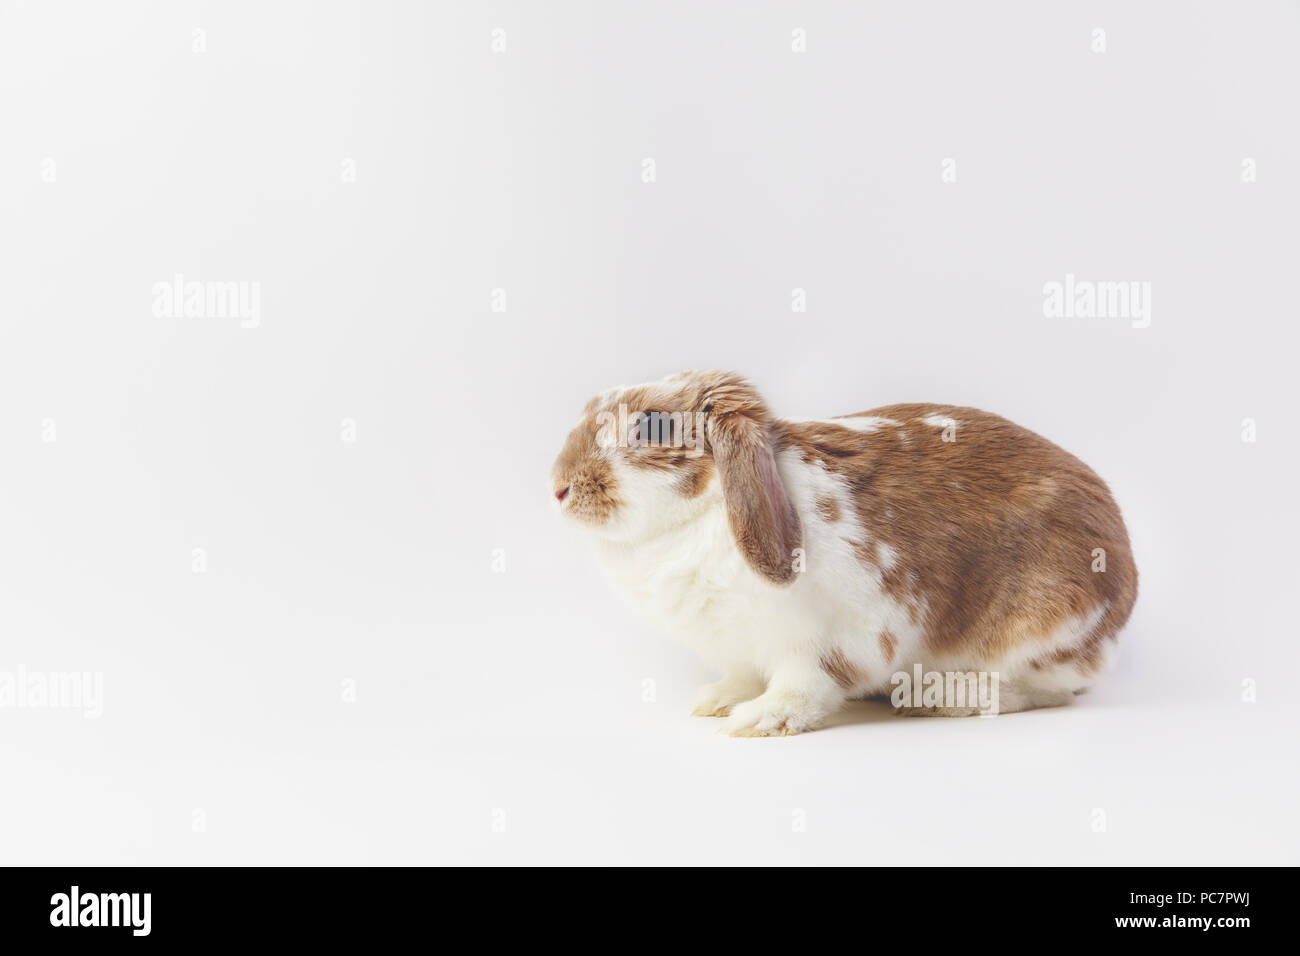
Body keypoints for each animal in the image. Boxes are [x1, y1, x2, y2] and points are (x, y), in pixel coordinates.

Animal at [550, 370, 1137, 736]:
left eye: (652, 425)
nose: (558, 487)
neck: (703, 514)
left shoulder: (828, 640)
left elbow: (804, 686)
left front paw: (761, 720)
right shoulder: (740, 647)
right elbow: (741, 675)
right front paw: (717, 702)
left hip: (1041, 629)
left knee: (1046, 690)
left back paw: (938, 698)